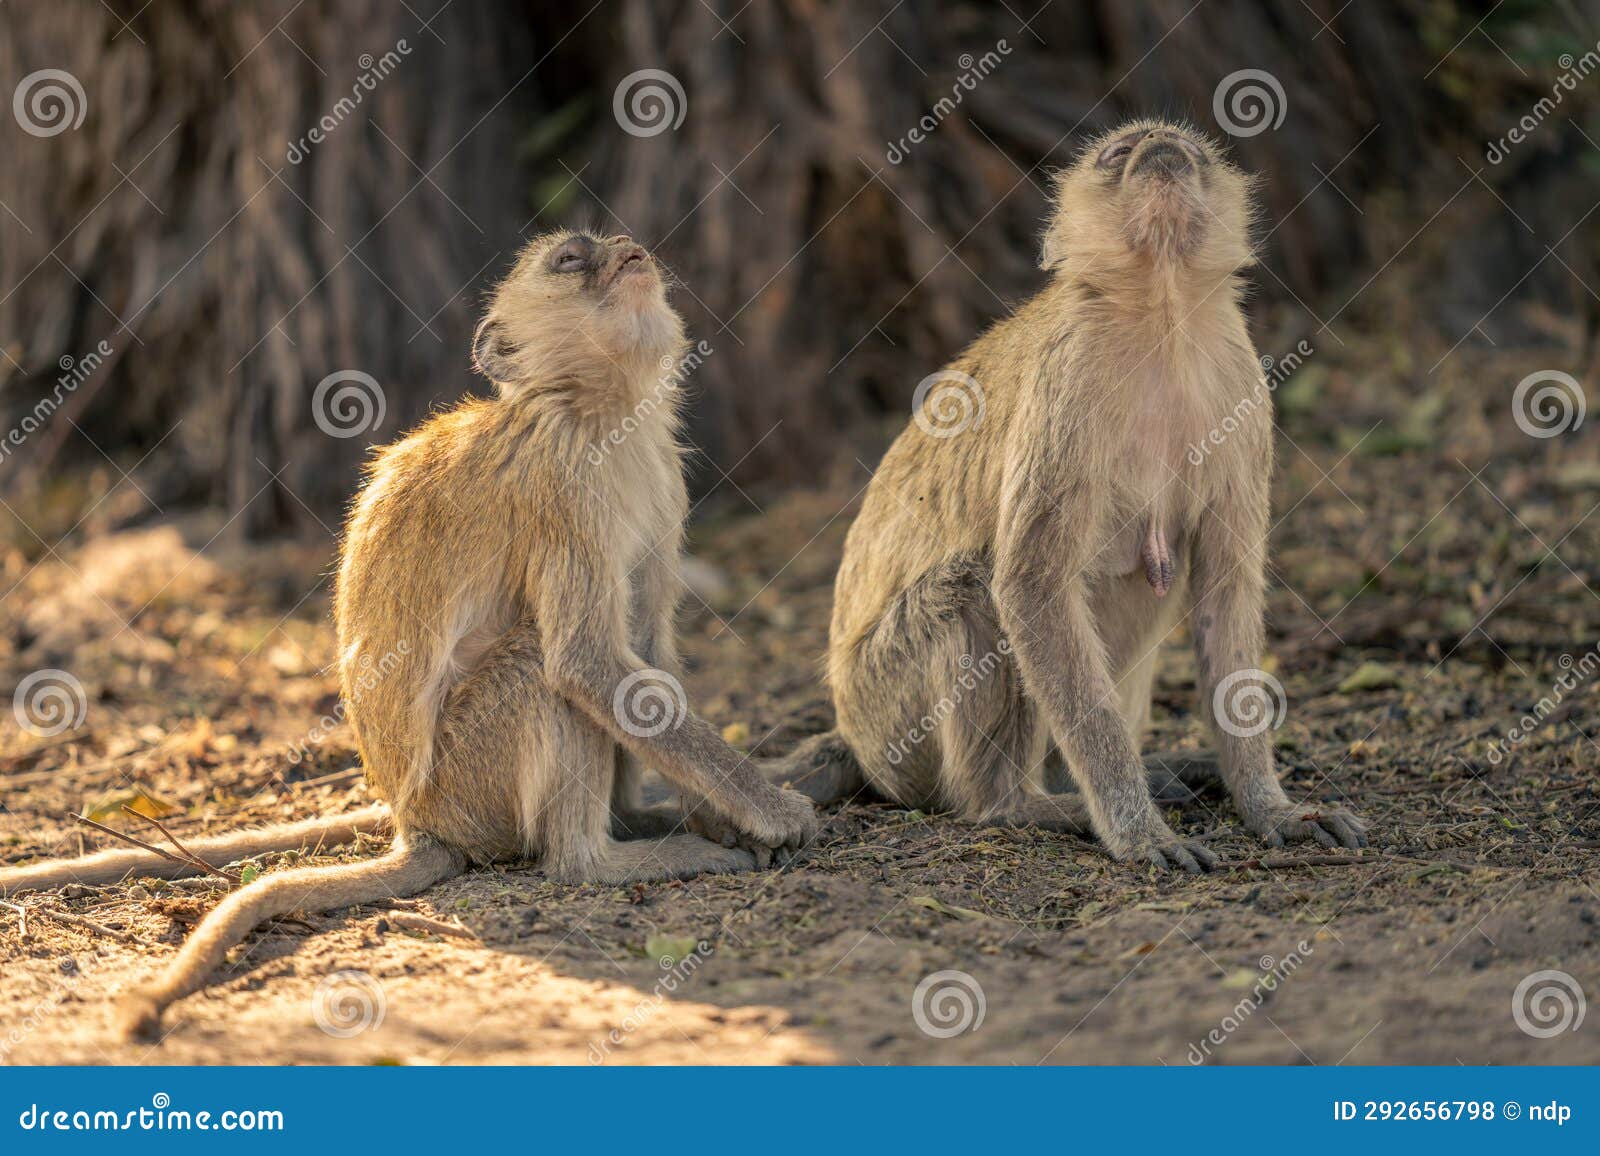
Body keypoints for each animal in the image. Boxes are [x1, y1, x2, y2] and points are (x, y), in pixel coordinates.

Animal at [0, 230, 817, 1039]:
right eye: (572, 259)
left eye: (608, 244)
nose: (627, 249)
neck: (596, 411)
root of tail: (417, 821)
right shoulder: (561, 486)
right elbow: (586, 664)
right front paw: (771, 812)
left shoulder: (659, 477)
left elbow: (645, 656)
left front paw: (723, 808)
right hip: (471, 783)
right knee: (539, 672)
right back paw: (599, 861)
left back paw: (642, 821)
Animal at [765, 119, 1366, 871]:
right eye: (1122, 152)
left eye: (1188, 151)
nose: (1161, 151)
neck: (1162, 317)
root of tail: (852, 732)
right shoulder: (1067, 387)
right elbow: (1031, 587)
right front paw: (1137, 832)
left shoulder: (1243, 388)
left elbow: (1224, 586)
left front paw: (1268, 804)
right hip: (888, 712)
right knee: (973, 591)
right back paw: (1014, 805)